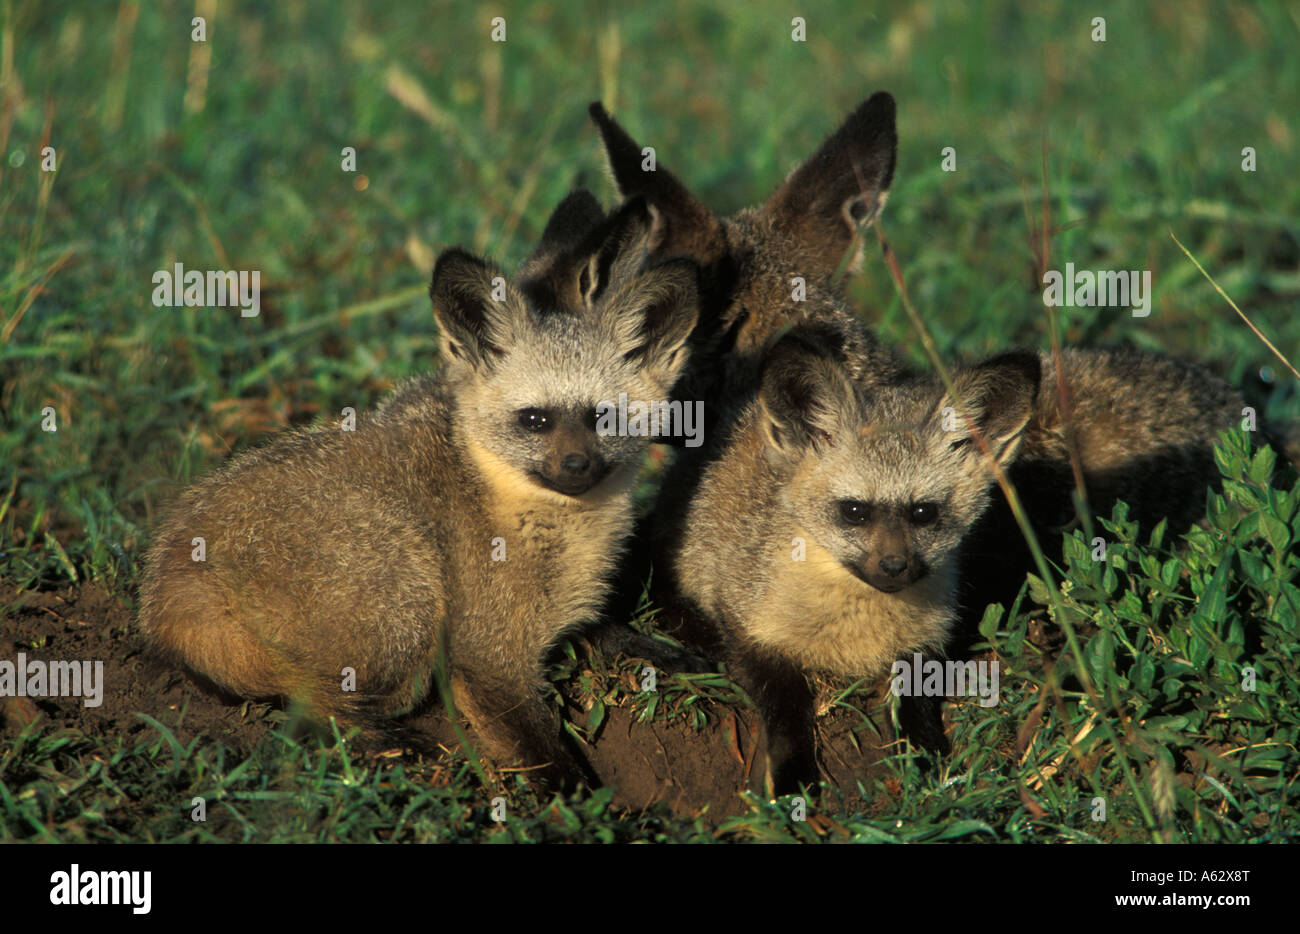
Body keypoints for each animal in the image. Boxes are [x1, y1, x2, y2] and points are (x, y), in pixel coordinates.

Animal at [138, 191, 699, 790]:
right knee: (311, 706)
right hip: (412, 596)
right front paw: (585, 803)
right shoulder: (484, 661)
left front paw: (671, 653)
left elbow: (611, 631)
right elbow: (552, 762)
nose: (576, 465)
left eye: (603, 418)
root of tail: (171, 583)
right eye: (535, 420)